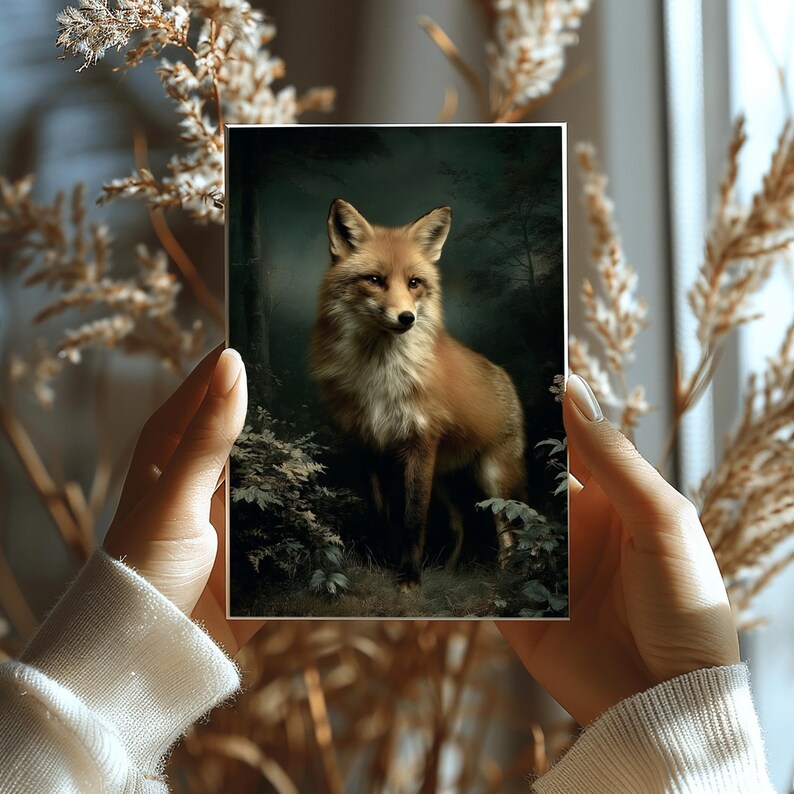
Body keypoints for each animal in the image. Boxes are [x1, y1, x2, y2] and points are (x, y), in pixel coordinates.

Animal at [309, 199, 527, 587]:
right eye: (375, 280)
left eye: (414, 283)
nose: (406, 317)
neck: (379, 376)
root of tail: (504, 375)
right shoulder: (368, 443)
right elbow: (381, 514)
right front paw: (382, 563)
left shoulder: (419, 443)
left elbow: (413, 521)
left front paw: (409, 579)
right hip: (444, 481)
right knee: (460, 523)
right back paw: (452, 573)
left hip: (493, 478)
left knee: (507, 530)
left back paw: (508, 575)